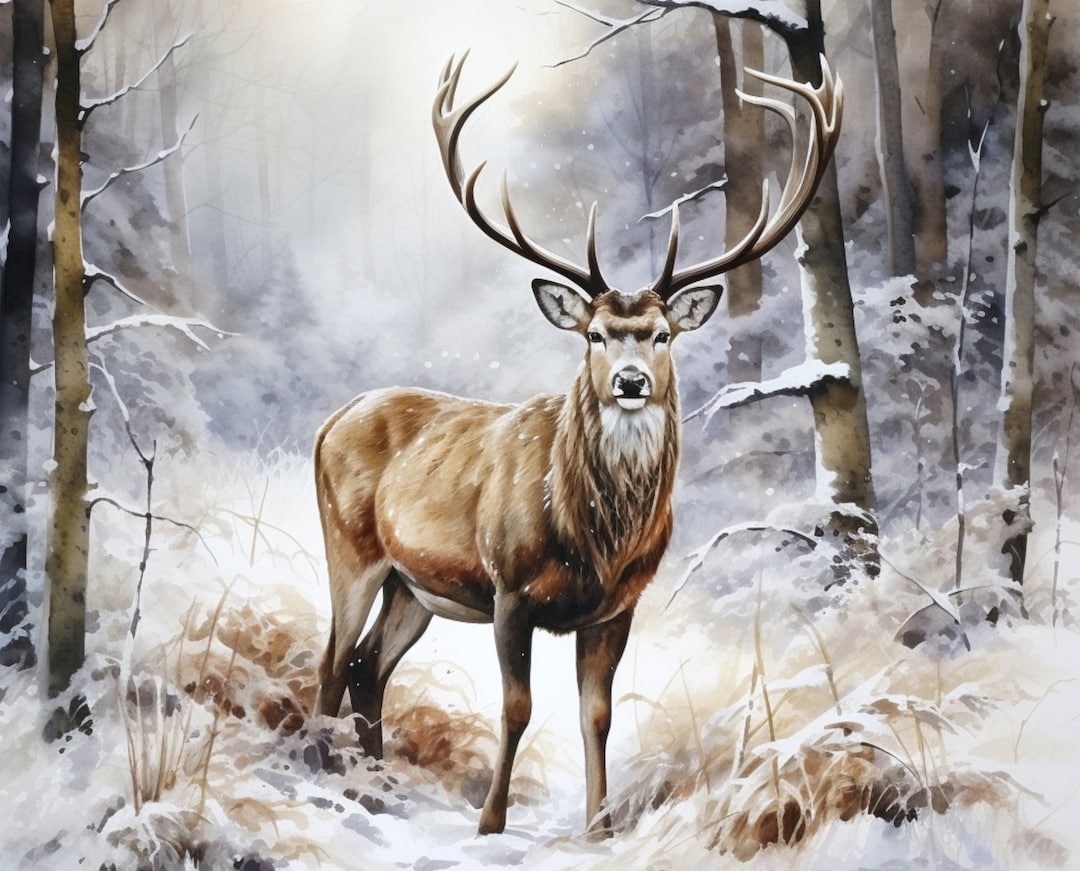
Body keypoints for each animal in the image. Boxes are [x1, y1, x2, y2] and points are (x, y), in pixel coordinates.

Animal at [313, 52, 842, 836]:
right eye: (593, 333)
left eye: (662, 333)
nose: (629, 381)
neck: (595, 537)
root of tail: (330, 421)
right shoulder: (508, 585)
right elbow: (517, 706)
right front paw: (491, 822)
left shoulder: (620, 604)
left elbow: (598, 715)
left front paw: (600, 826)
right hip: (351, 547)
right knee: (332, 661)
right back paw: (322, 780)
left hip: (416, 585)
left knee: (367, 667)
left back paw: (373, 788)